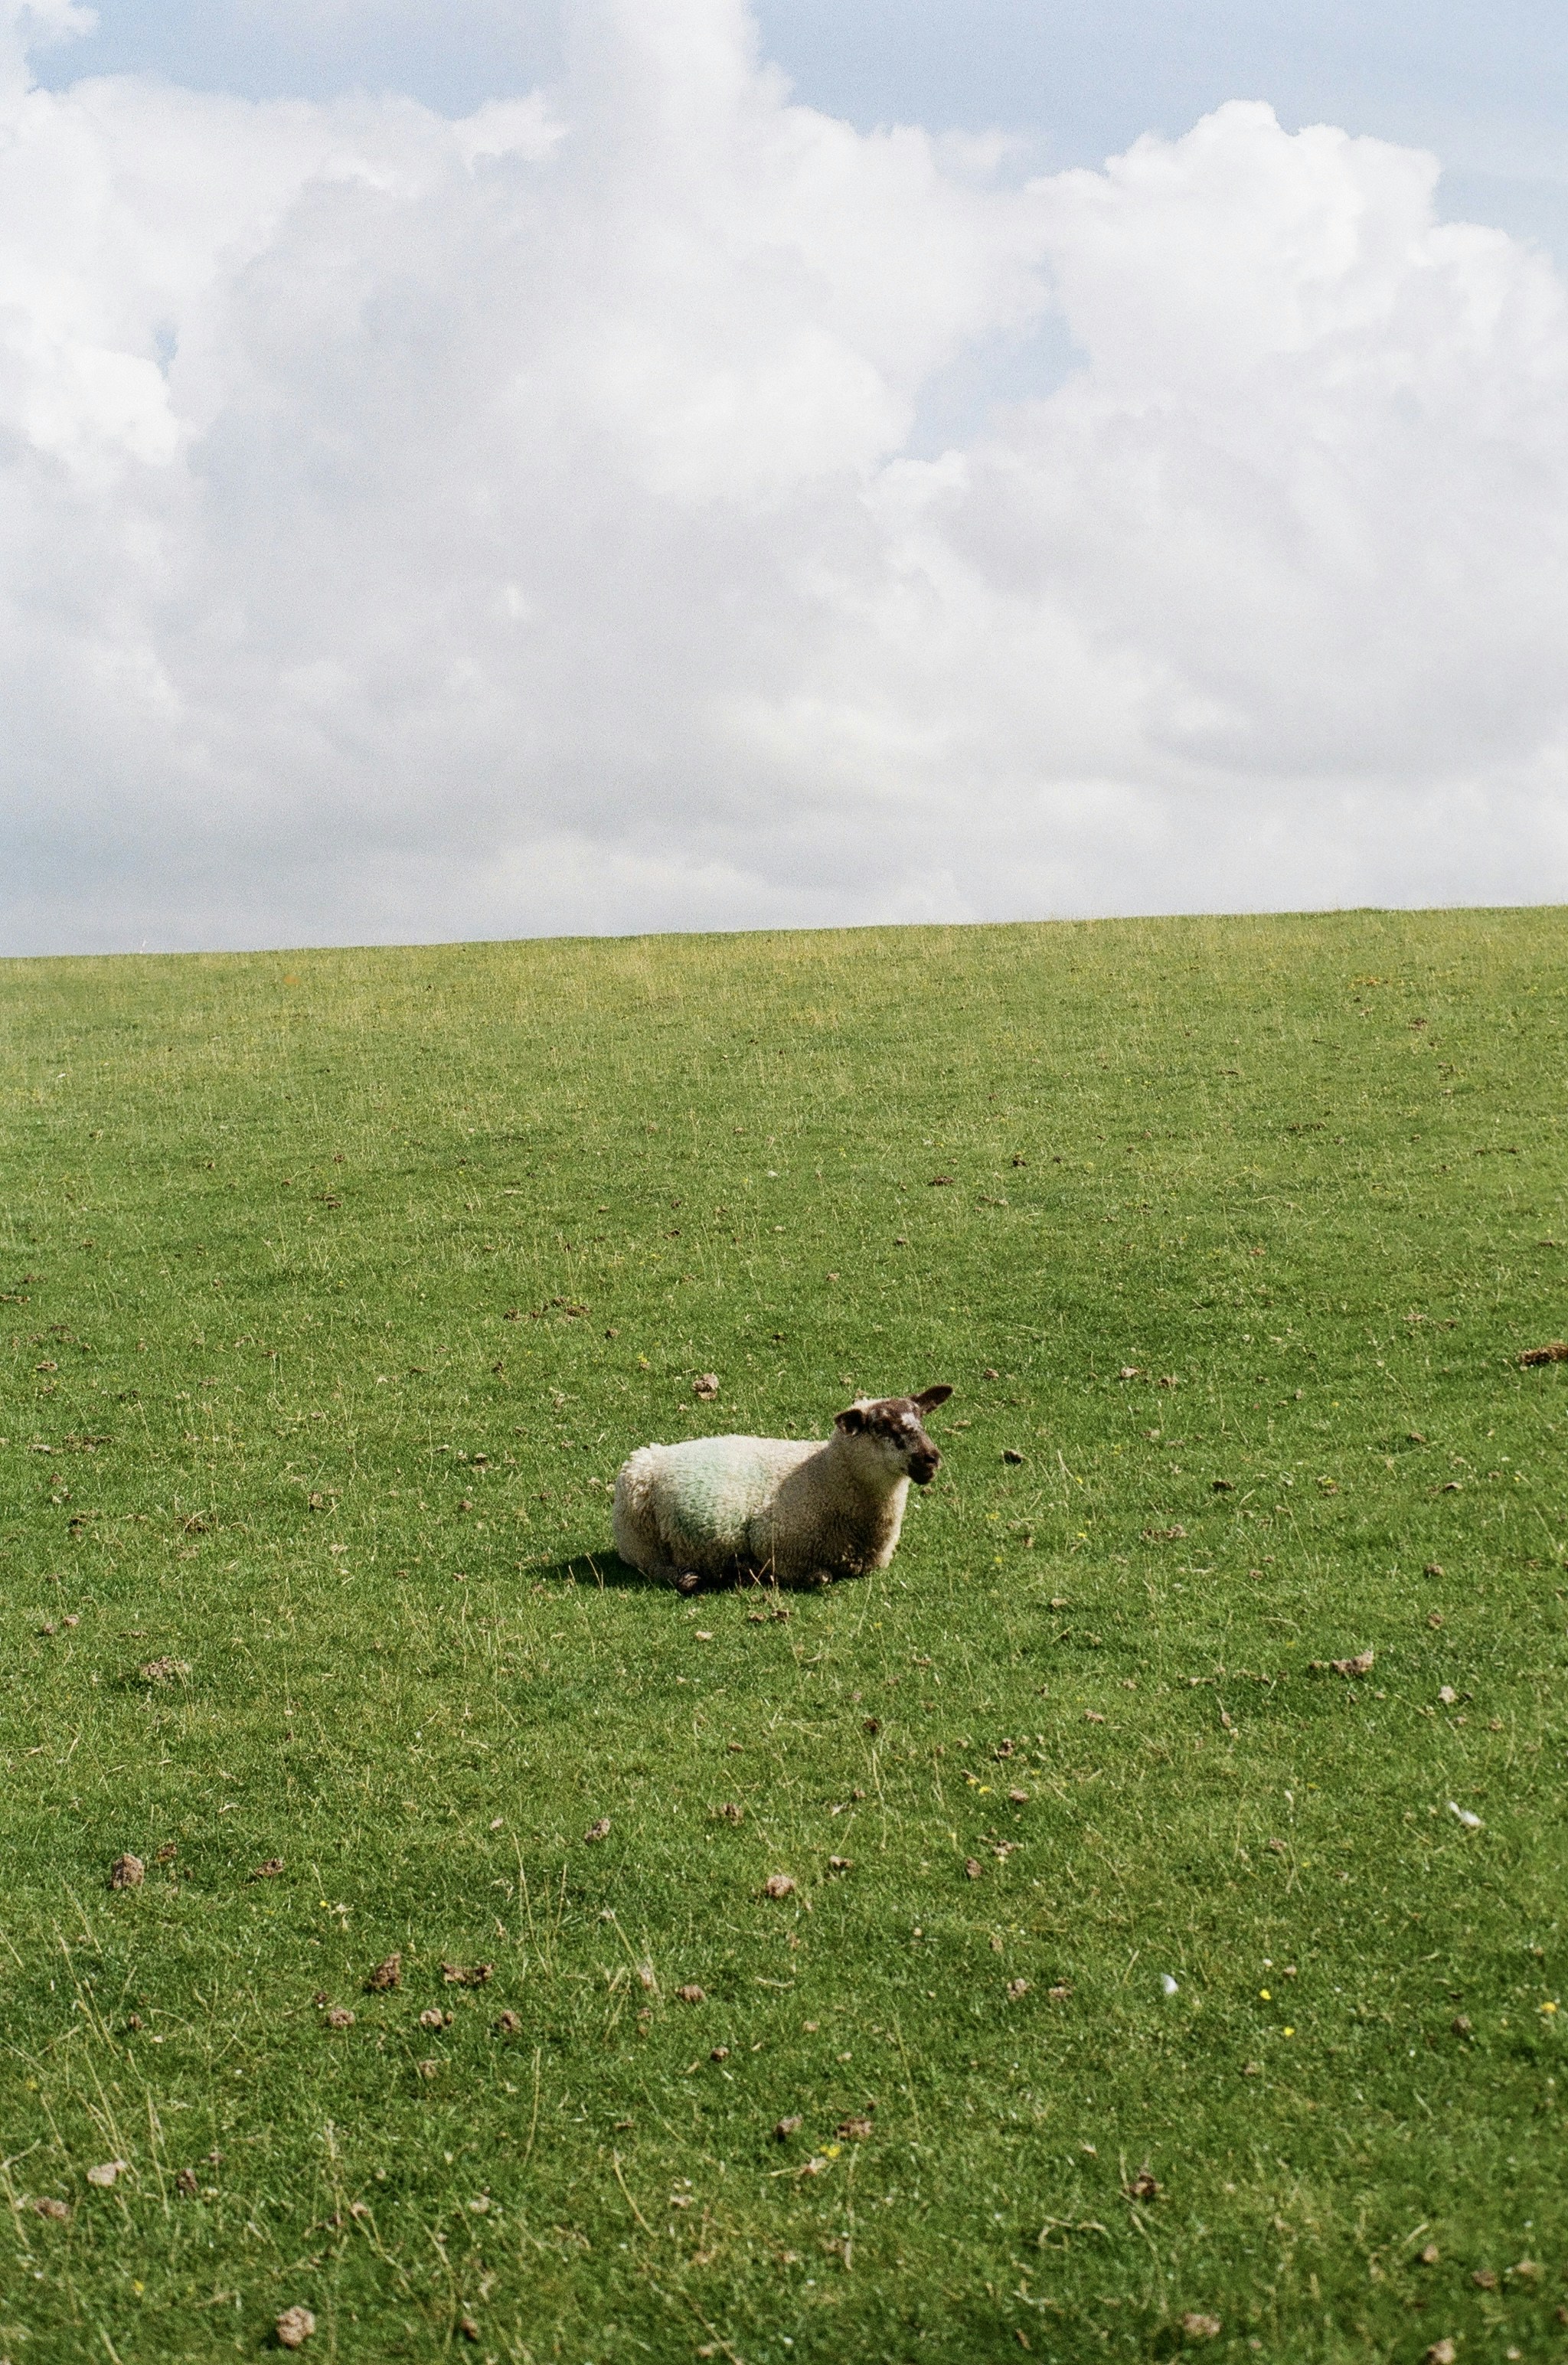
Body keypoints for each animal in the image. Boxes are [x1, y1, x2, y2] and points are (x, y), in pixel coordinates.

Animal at [612, 1386, 953, 1591]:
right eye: (881, 1426)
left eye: (922, 1420)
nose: (931, 1458)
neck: (825, 1475)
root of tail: (652, 1453)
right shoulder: (774, 1543)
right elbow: (821, 1576)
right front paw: (760, 1573)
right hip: (641, 1537)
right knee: (654, 1567)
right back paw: (692, 1578)